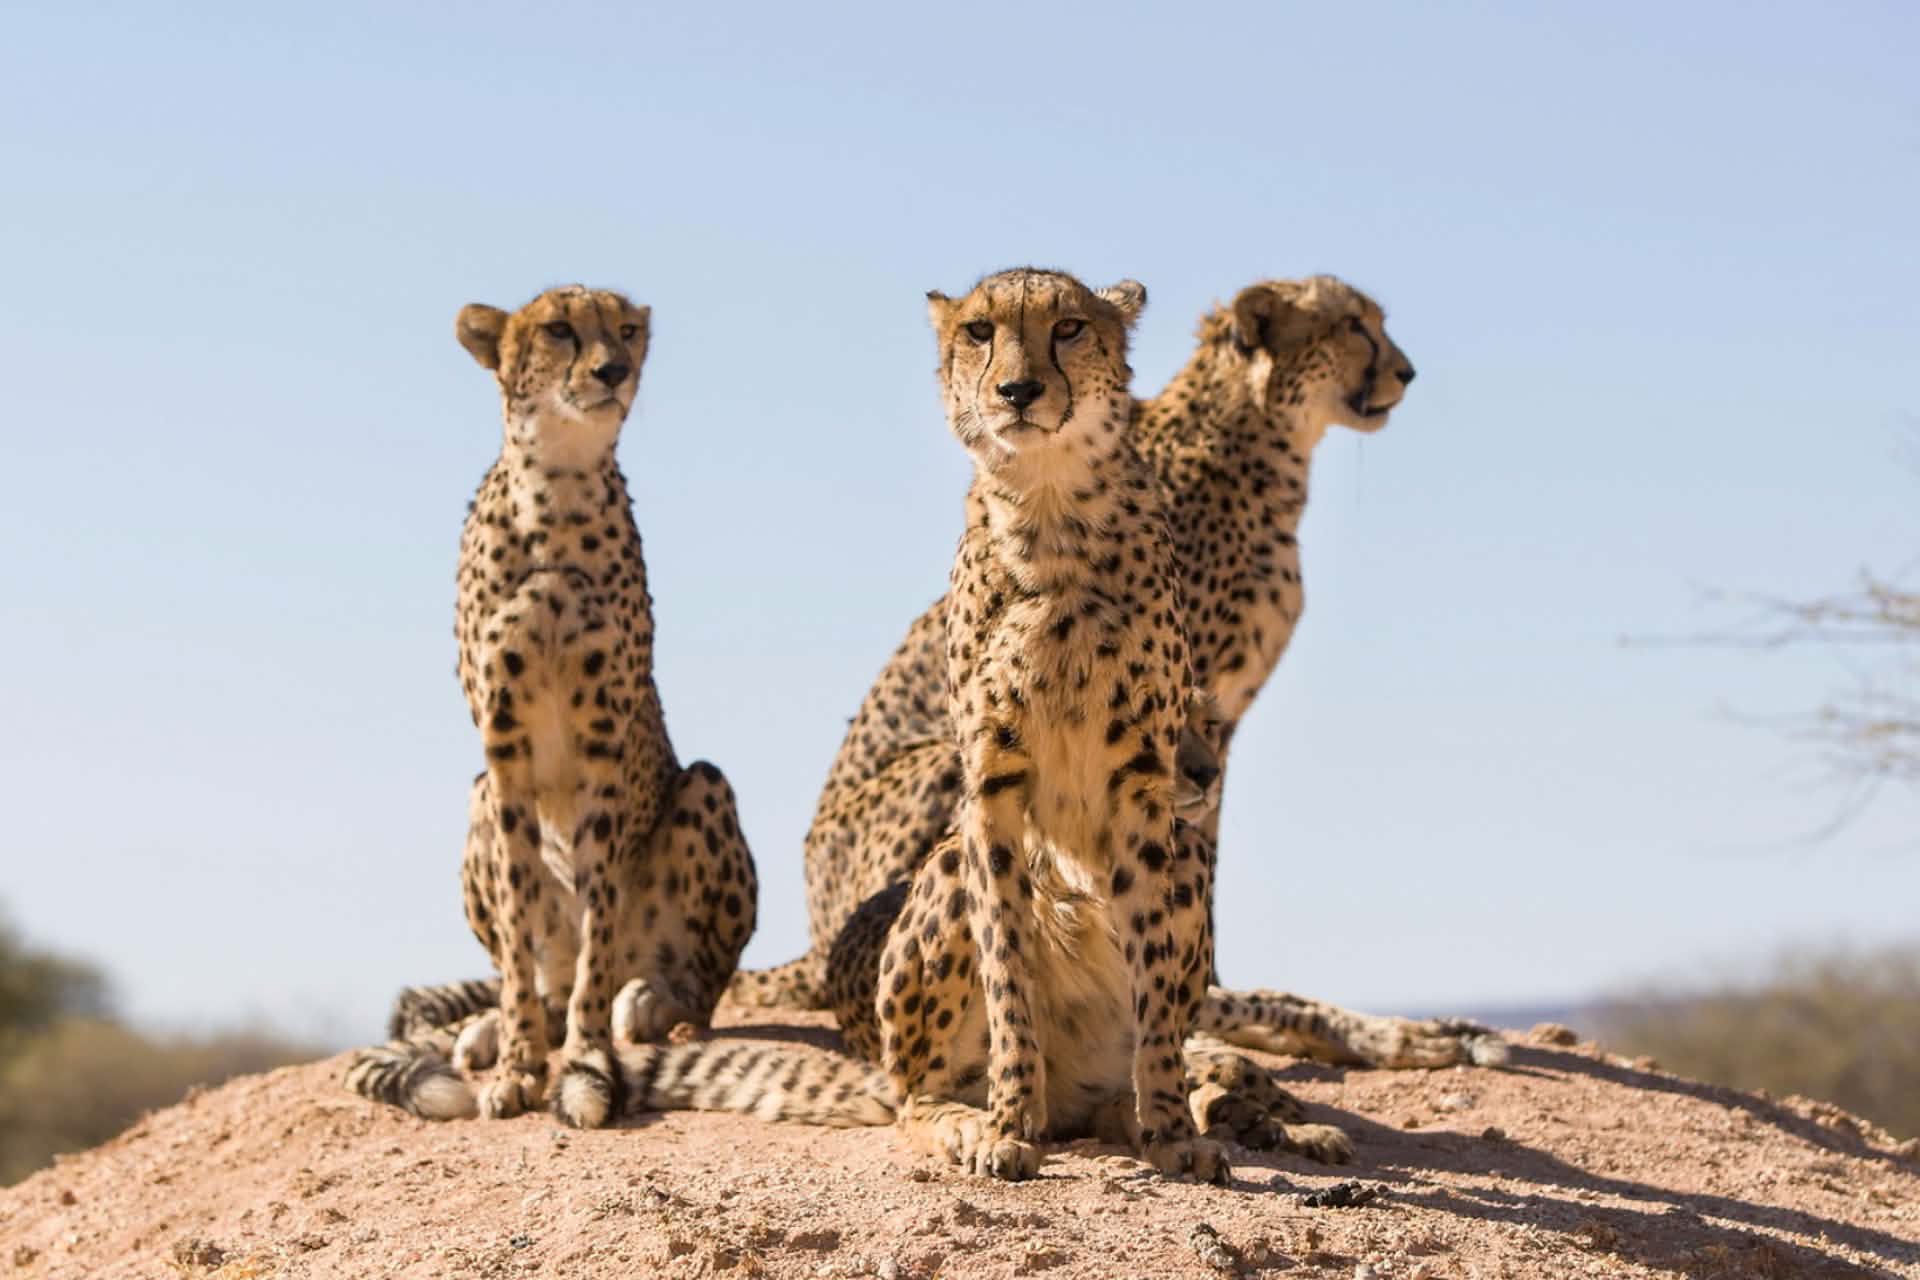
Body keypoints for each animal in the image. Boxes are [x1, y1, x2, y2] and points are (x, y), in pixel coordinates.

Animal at [343, 285, 758, 1121]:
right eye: (560, 328)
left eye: (627, 329)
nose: (614, 369)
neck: (558, 488)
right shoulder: (502, 755)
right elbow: (516, 919)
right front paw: (517, 1062)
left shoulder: (603, 747)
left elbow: (599, 921)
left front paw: (585, 1058)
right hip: (476, 795)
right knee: (542, 969)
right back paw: (495, 1027)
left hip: (705, 786)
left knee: (692, 976)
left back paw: (651, 1000)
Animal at [549, 268, 1353, 1183]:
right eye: (979, 331)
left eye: (1069, 327)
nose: (1017, 390)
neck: (1048, 506)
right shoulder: (989, 781)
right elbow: (1006, 962)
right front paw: (1006, 1123)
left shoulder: (1145, 789)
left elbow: (1154, 996)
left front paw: (1175, 1133)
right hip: (934, 892)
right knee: (914, 1097)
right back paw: (973, 1118)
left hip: (1172, 866)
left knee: (1122, 1072)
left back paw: (1152, 1114)